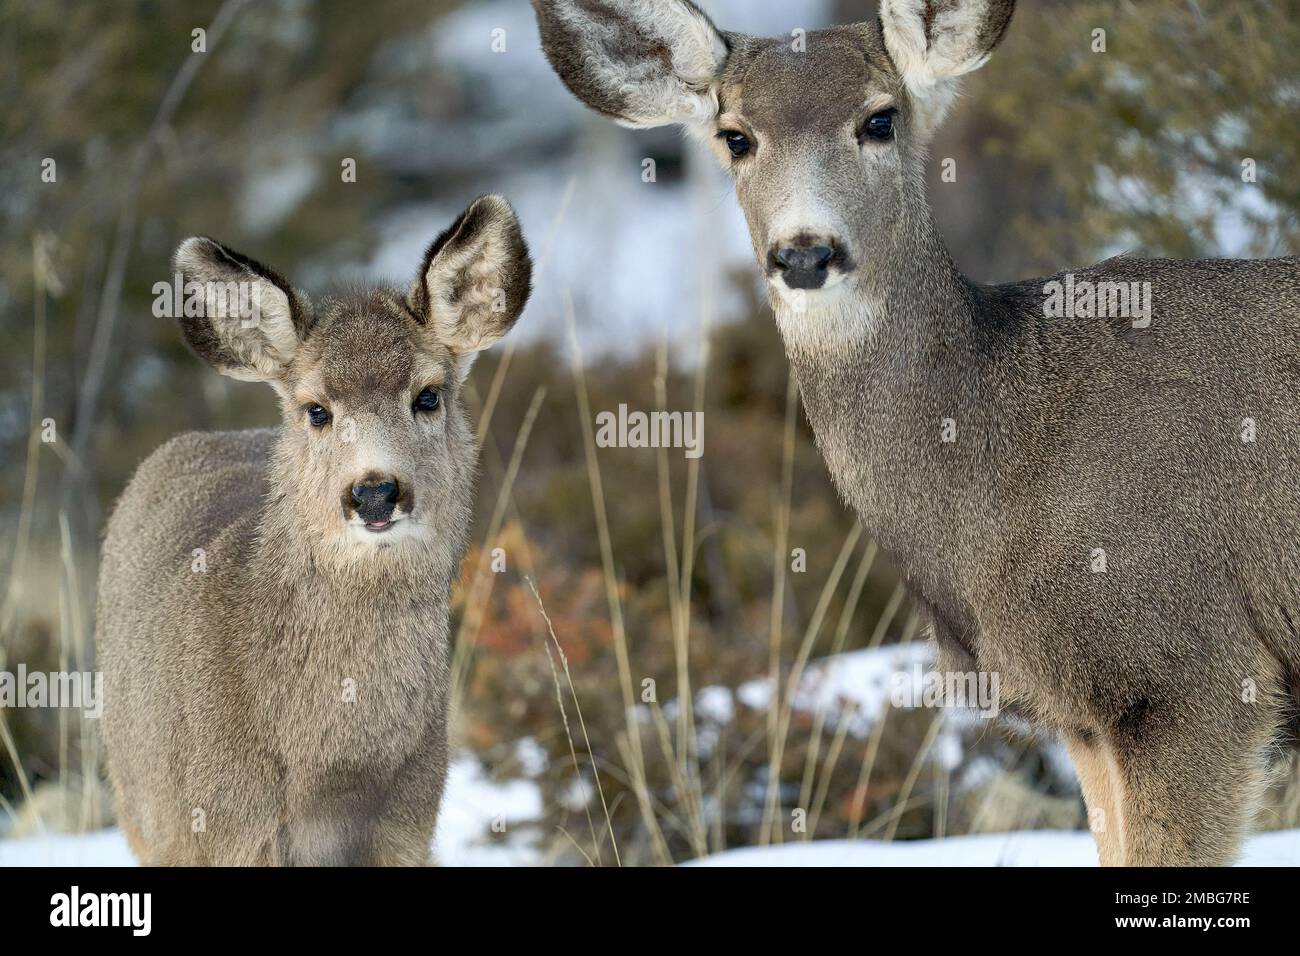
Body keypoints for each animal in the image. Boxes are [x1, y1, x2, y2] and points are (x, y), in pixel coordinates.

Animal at [95, 195, 532, 865]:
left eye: (428, 396)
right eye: (317, 409)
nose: (375, 490)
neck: (332, 773)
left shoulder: (409, 824)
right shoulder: (225, 828)